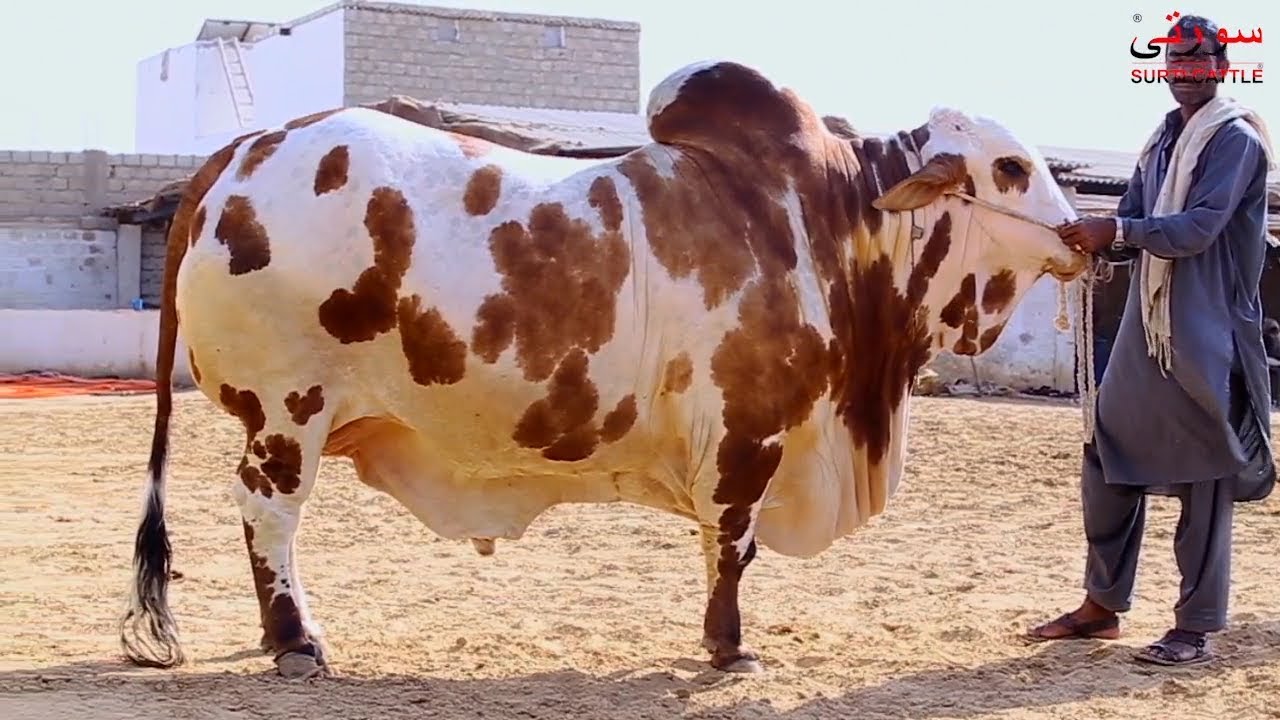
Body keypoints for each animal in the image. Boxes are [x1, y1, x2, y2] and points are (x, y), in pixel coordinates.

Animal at [119, 60, 1087, 679]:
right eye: (1010, 166)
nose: (1086, 233)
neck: (826, 221)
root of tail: (249, 147)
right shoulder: (748, 431)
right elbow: (732, 544)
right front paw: (730, 648)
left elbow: (720, 545)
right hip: (289, 410)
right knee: (267, 512)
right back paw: (295, 641)